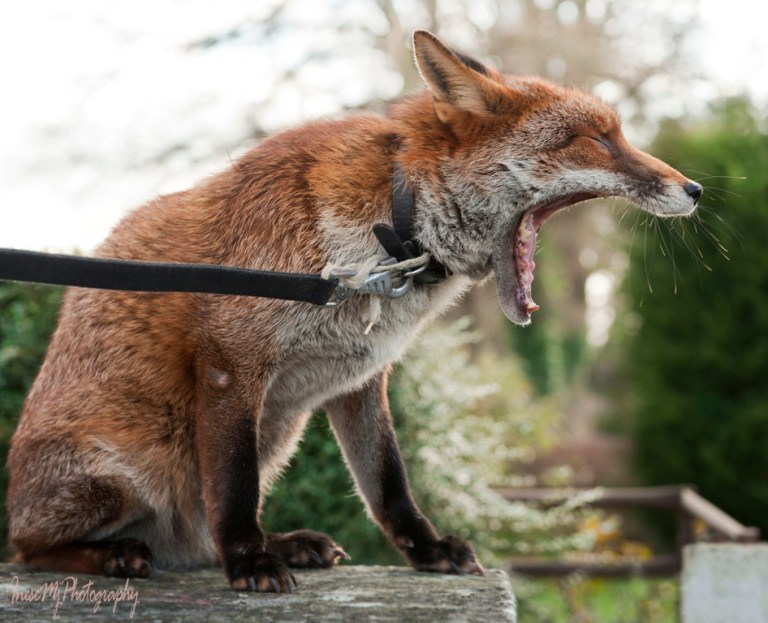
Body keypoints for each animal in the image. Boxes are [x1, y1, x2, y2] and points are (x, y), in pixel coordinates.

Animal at [6, 30, 701, 593]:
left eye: (619, 135)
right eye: (597, 141)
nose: (694, 188)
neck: (387, 234)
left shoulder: (362, 378)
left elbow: (388, 484)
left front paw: (428, 552)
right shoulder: (233, 364)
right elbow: (233, 489)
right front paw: (248, 563)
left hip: (275, 434)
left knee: (196, 537)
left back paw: (281, 542)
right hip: (125, 476)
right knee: (28, 547)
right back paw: (116, 555)